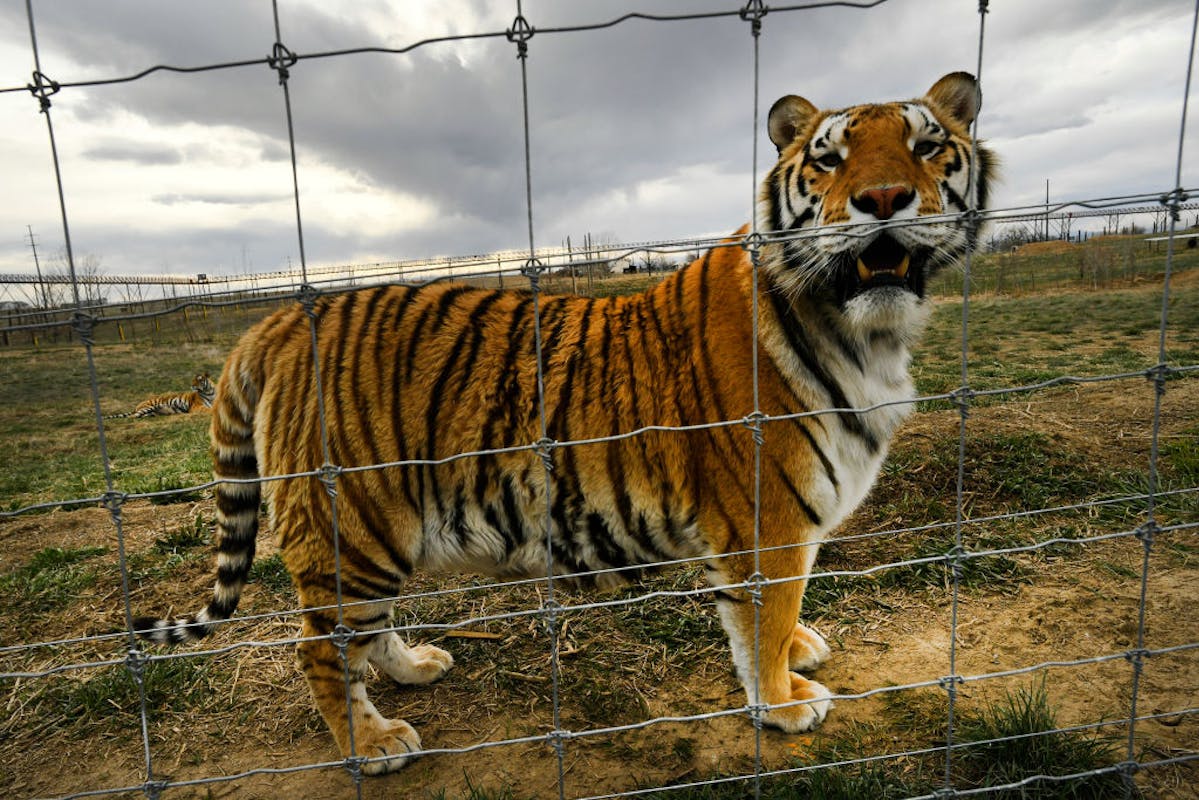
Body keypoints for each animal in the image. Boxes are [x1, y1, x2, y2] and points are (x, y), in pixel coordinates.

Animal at [134, 72, 995, 774]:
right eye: (828, 161)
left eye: (925, 147)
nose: (882, 200)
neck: (868, 330)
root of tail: (277, 318)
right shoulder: (768, 518)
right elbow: (765, 613)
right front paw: (783, 703)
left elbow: (768, 613)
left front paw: (797, 652)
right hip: (353, 527)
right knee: (317, 646)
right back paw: (371, 744)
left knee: (361, 632)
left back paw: (416, 669)